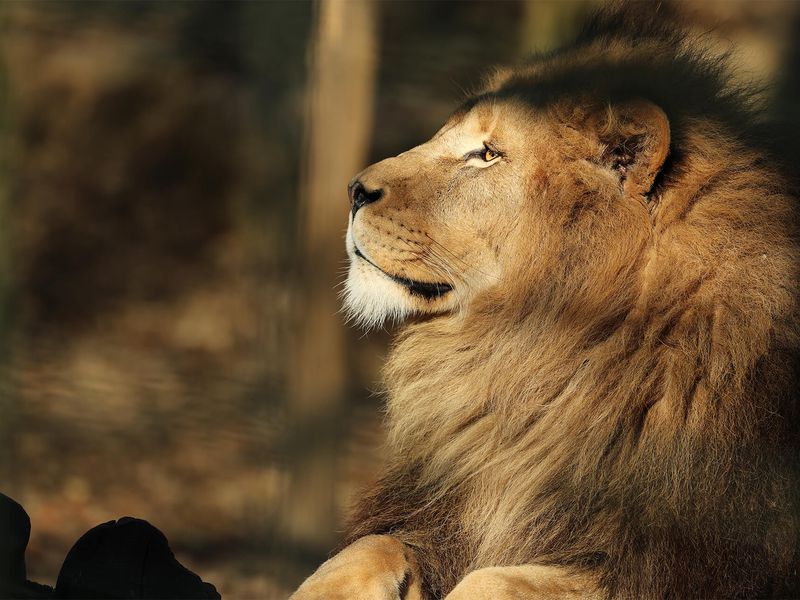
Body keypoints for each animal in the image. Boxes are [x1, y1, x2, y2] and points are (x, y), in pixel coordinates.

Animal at [292, 7, 800, 600]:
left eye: (486, 154)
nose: (353, 190)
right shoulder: (446, 509)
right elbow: (365, 548)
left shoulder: (687, 565)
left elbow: (491, 580)